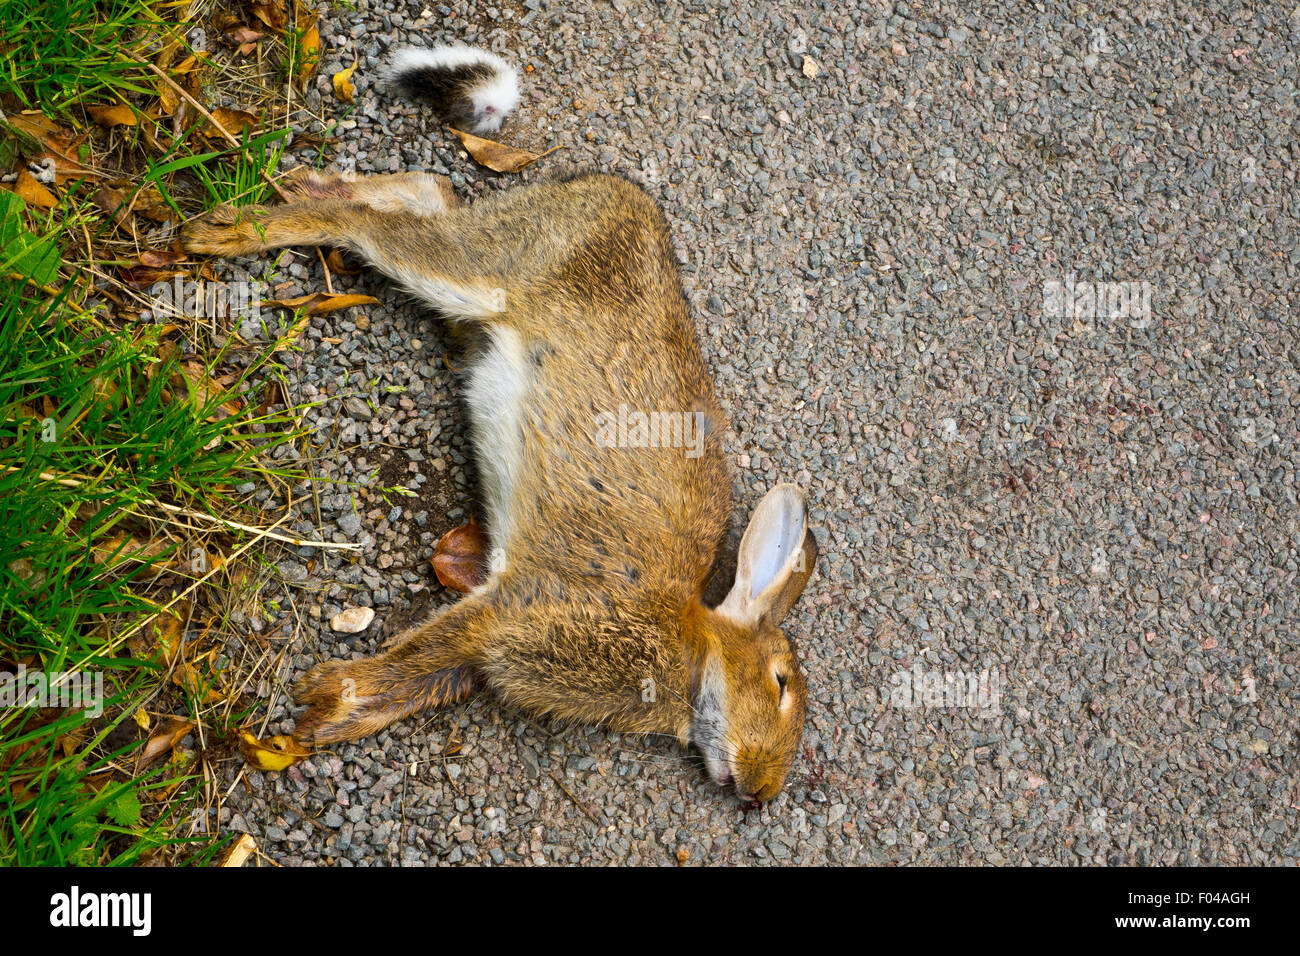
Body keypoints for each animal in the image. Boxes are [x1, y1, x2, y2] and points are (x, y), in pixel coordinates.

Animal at [182, 169, 819, 801]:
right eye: (780, 683)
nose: (762, 794)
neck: (690, 649)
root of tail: (606, 189)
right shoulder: (510, 615)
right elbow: (415, 657)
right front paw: (326, 690)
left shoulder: (482, 651)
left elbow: (414, 682)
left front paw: (326, 721)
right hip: (482, 274)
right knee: (370, 228)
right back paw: (228, 230)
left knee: (428, 194)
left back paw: (314, 185)